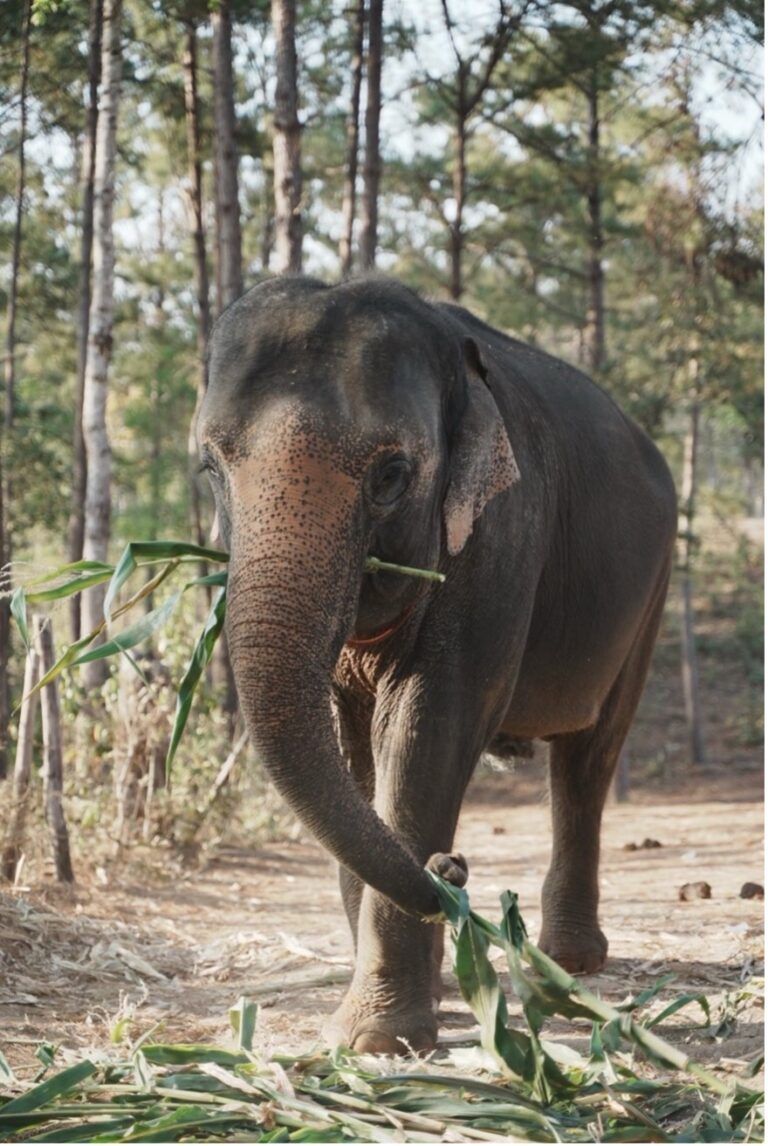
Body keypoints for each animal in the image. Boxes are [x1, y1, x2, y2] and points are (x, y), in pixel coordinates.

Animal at [198, 275, 677, 1055]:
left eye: (393, 474)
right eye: (210, 468)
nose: (454, 869)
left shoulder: (503, 535)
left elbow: (429, 725)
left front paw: (377, 1039)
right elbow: (355, 754)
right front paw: (412, 1000)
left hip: (651, 590)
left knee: (589, 756)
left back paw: (572, 961)